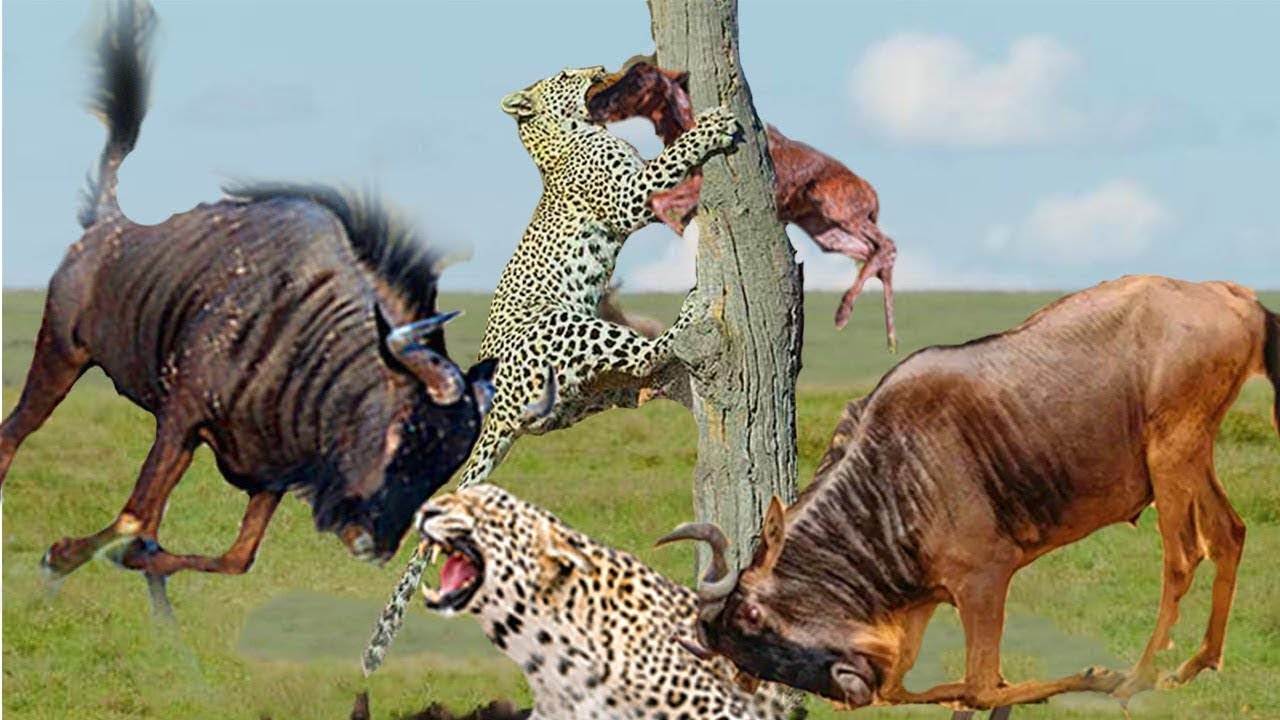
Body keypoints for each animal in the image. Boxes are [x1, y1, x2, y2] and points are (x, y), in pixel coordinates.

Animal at [455, 66, 741, 489]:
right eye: (563, 75)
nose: (600, 69)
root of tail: (496, 414)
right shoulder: (630, 197)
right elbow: (672, 157)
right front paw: (710, 127)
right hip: (560, 325)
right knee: (643, 356)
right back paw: (689, 309)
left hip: (583, 397)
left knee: (636, 377)